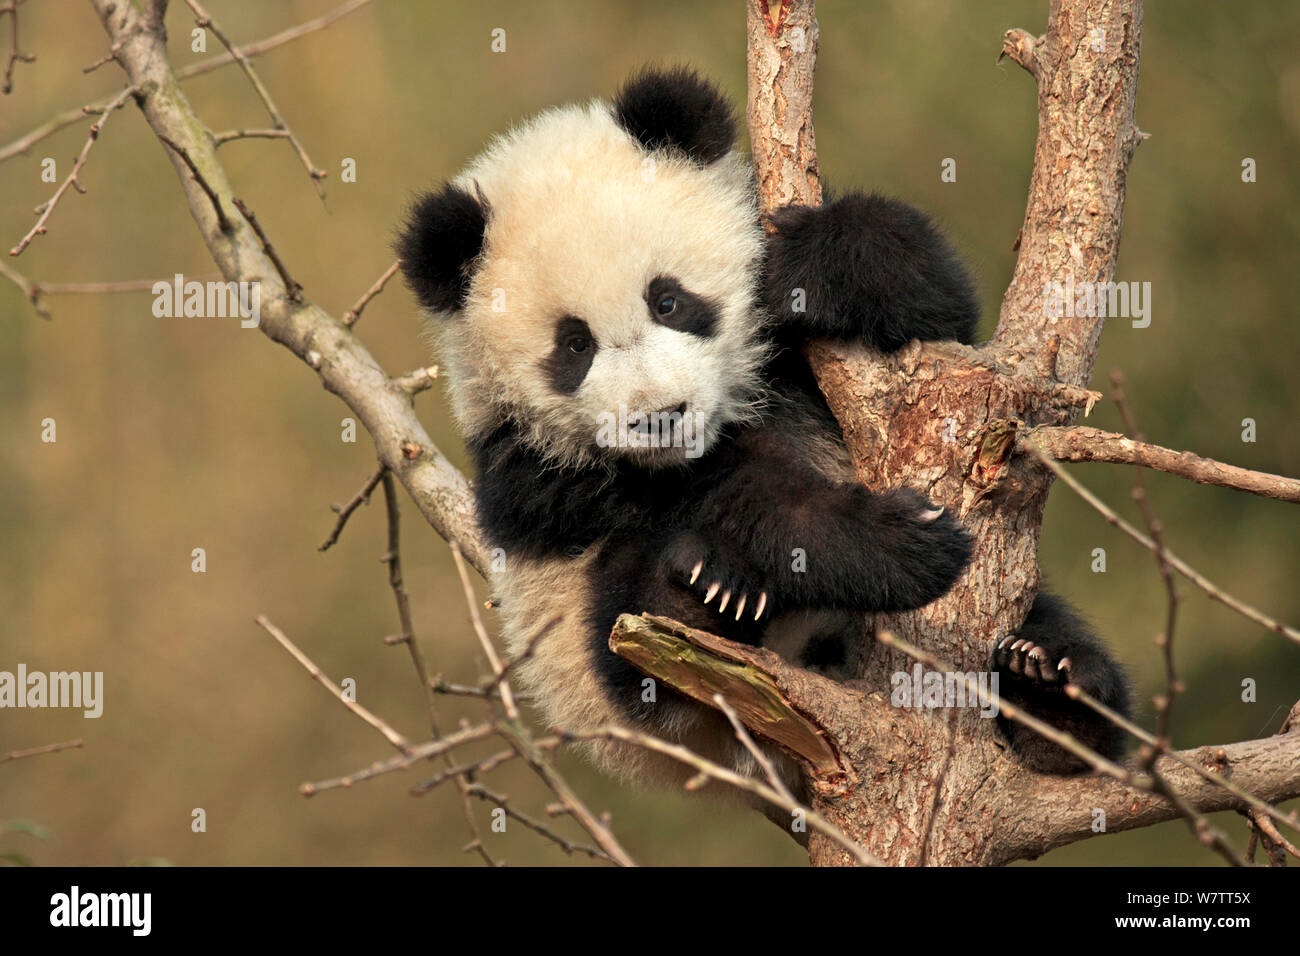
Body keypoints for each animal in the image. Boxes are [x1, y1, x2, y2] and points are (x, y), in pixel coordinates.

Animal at [396, 67, 1130, 797]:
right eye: (574, 346)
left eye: (668, 300)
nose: (659, 415)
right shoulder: (532, 468)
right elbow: (727, 491)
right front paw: (895, 543)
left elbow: (938, 315)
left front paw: (821, 265)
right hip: (595, 673)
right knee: (634, 635)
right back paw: (700, 593)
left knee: (1047, 627)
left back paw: (1053, 691)